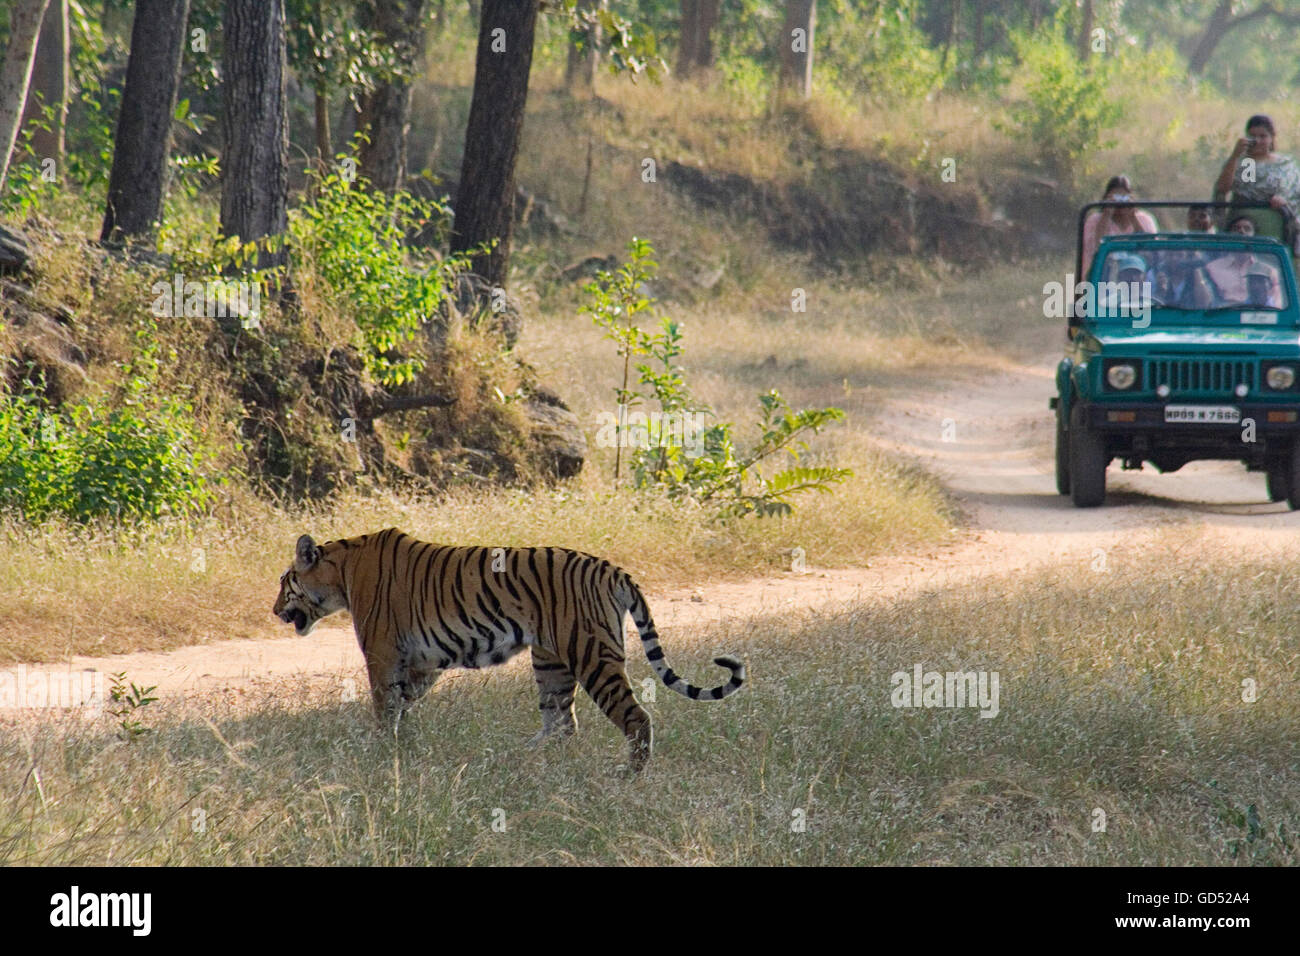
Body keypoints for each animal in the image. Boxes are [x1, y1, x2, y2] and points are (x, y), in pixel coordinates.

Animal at [272, 528, 745, 771]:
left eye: (283, 583)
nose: (275, 610)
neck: (341, 574)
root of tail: (612, 568)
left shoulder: (383, 654)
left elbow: (384, 706)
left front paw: (380, 751)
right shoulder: (421, 663)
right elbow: (403, 705)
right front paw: (403, 747)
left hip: (592, 655)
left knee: (636, 718)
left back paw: (629, 776)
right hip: (552, 661)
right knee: (562, 722)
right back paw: (524, 759)